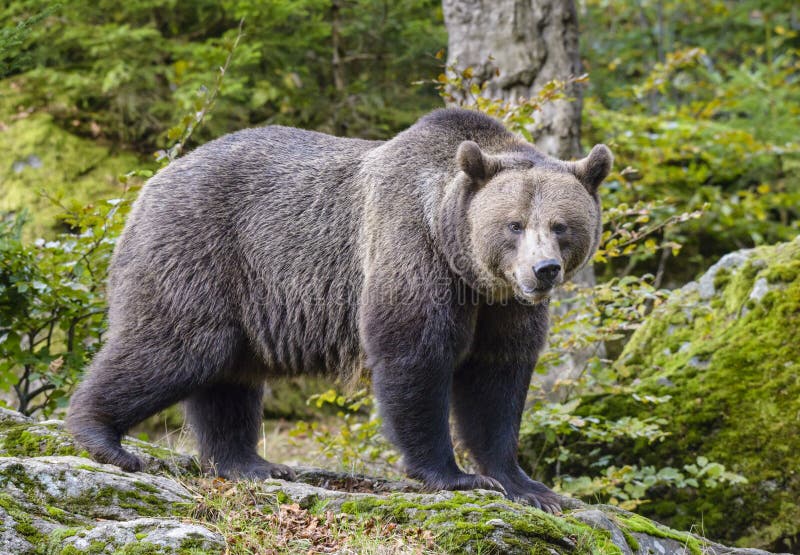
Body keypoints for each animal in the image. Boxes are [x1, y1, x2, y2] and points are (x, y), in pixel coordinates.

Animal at [67, 108, 612, 513]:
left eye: (561, 225)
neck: (465, 263)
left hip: (241, 295)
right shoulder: (411, 249)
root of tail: (149, 184)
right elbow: (414, 355)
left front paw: (529, 486)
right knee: (174, 347)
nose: (543, 270)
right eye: (514, 224)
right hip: (201, 249)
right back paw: (102, 436)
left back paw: (252, 463)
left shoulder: (502, 308)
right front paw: (453, 476)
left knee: (227, 375)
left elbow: (497, 379)